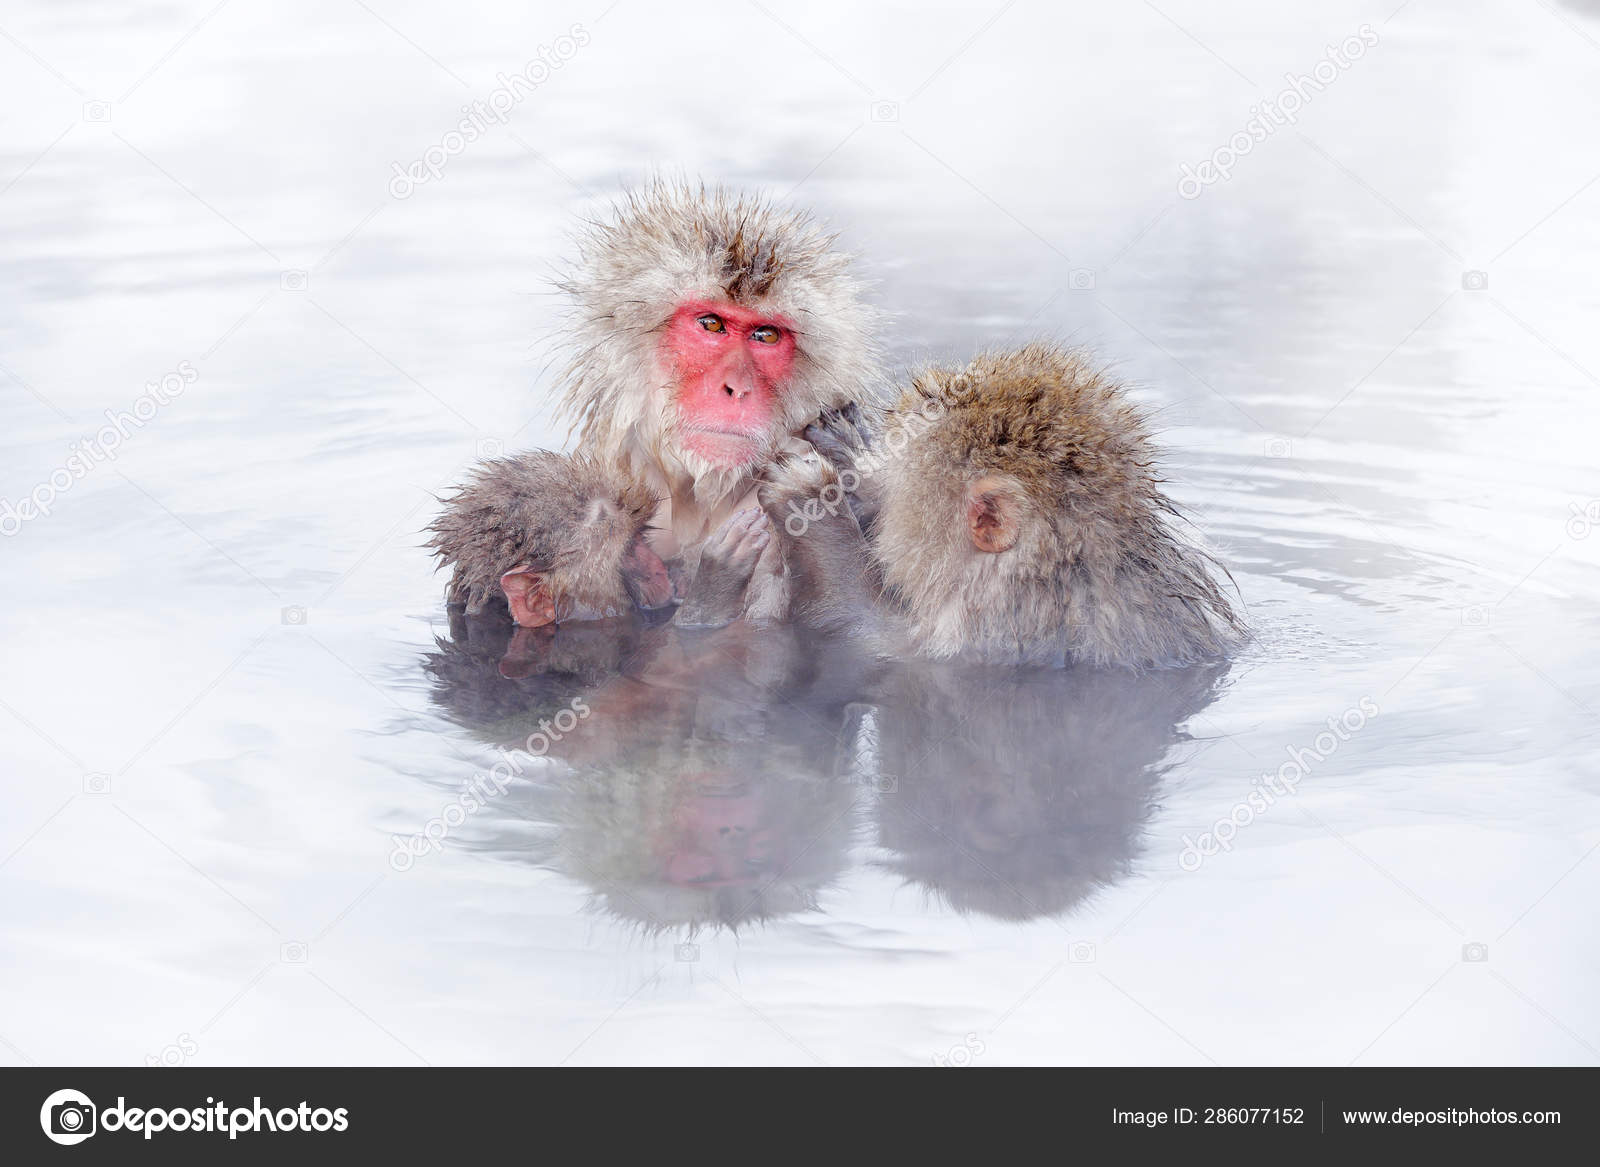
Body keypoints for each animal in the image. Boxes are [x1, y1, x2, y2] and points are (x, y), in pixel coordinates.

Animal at [777, 341, 1246, 668]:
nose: (857, 482)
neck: (1061, 574)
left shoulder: (991, 634)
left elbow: (877, 642)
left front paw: (813, 505)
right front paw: (851, 446)